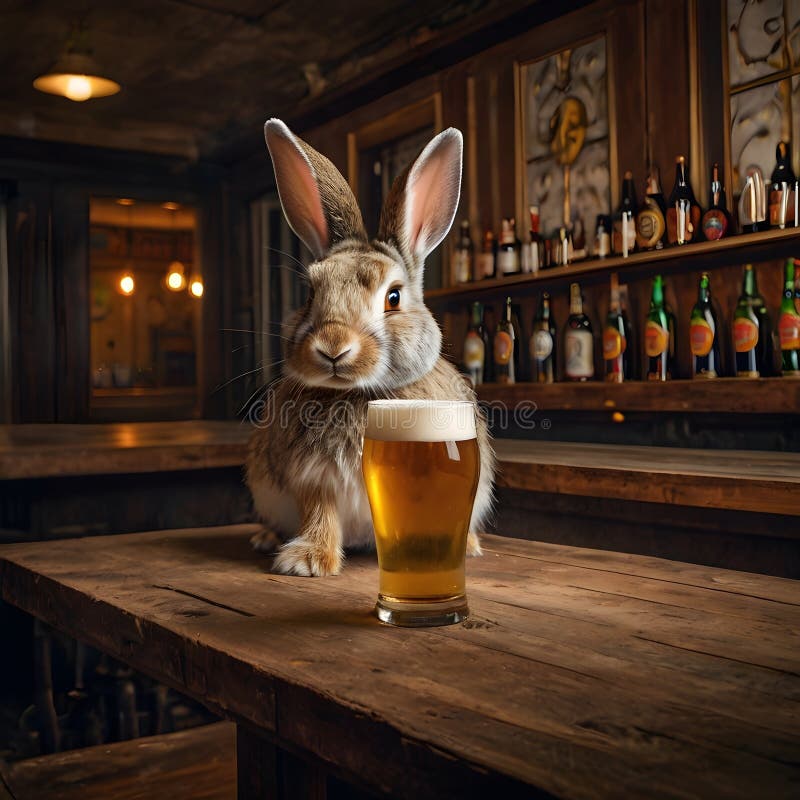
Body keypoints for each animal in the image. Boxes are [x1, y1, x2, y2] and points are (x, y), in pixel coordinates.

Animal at [245, 118, 495, 577]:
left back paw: (469, 545)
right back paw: (266, 538)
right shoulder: (312, 480)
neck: (362, 395)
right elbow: (320, 513)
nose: (333, 346)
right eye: (311, 292)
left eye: (393, 297)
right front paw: (307, 561)